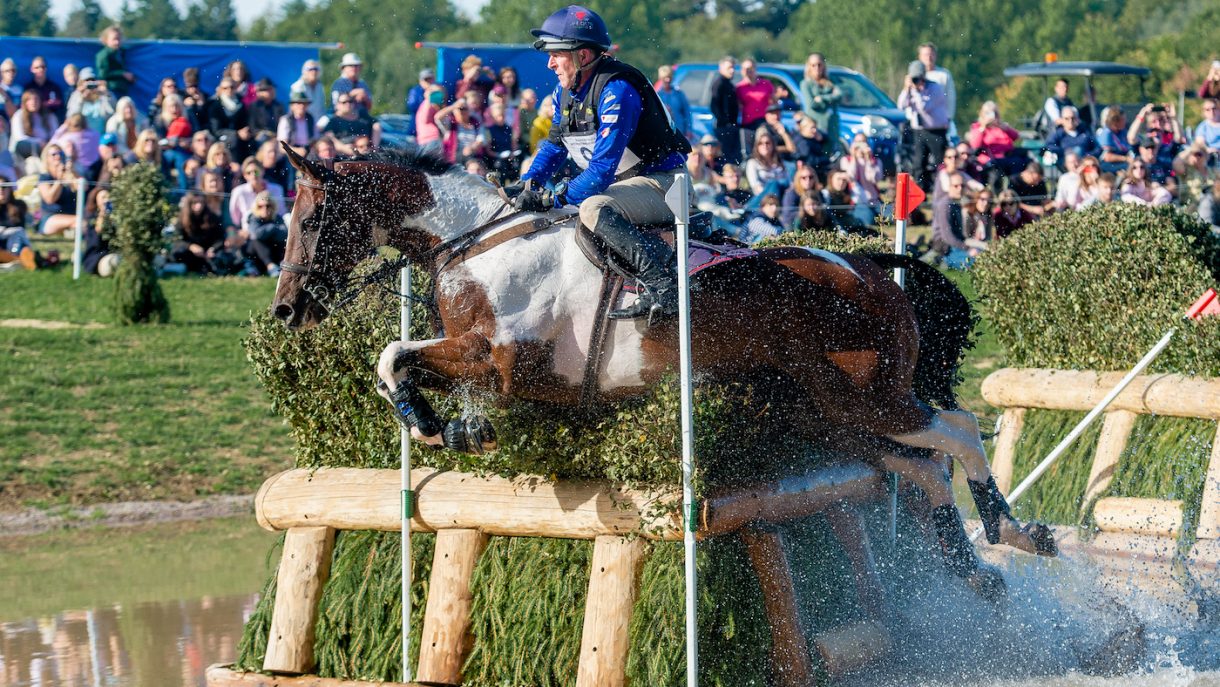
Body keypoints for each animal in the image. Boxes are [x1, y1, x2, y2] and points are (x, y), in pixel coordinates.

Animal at [269, 145, 1056, 596]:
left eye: (308, 221)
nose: (285, 310)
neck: (479, 245)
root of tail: (867, 268)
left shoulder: (503, 361)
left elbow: (400, 358)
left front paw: (437, 424)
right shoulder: (475, 351)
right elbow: (395, 359)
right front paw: (448, 425)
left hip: (869, 395)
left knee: (959, 431)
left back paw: (1012, 532)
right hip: (827, 409)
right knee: (922, 465)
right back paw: (974, 569)